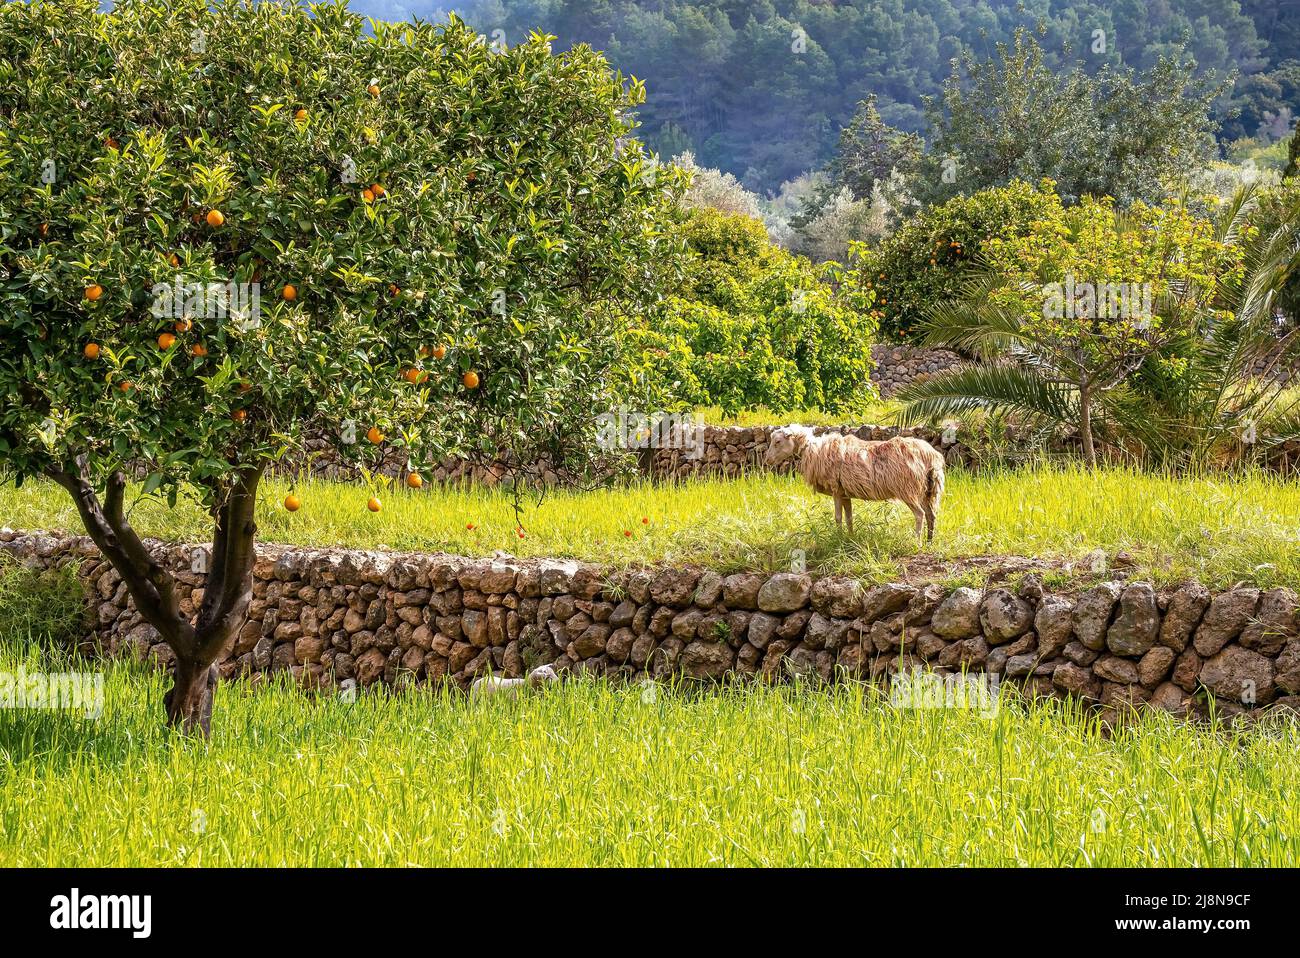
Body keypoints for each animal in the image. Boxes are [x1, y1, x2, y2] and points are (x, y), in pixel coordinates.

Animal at [763, 425, 946, 541]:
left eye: (778, 442)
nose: (767, 460)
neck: (812, 450)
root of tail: (931, 456)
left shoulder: (836, 491)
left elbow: (838, 517)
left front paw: (838, 539)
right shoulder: (844, 493)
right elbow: (849, 517)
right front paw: (850, 538)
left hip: (908, 488)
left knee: (920, 514)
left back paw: (917, 542)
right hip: (928, 490)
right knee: (931, 515)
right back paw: (929, 541)